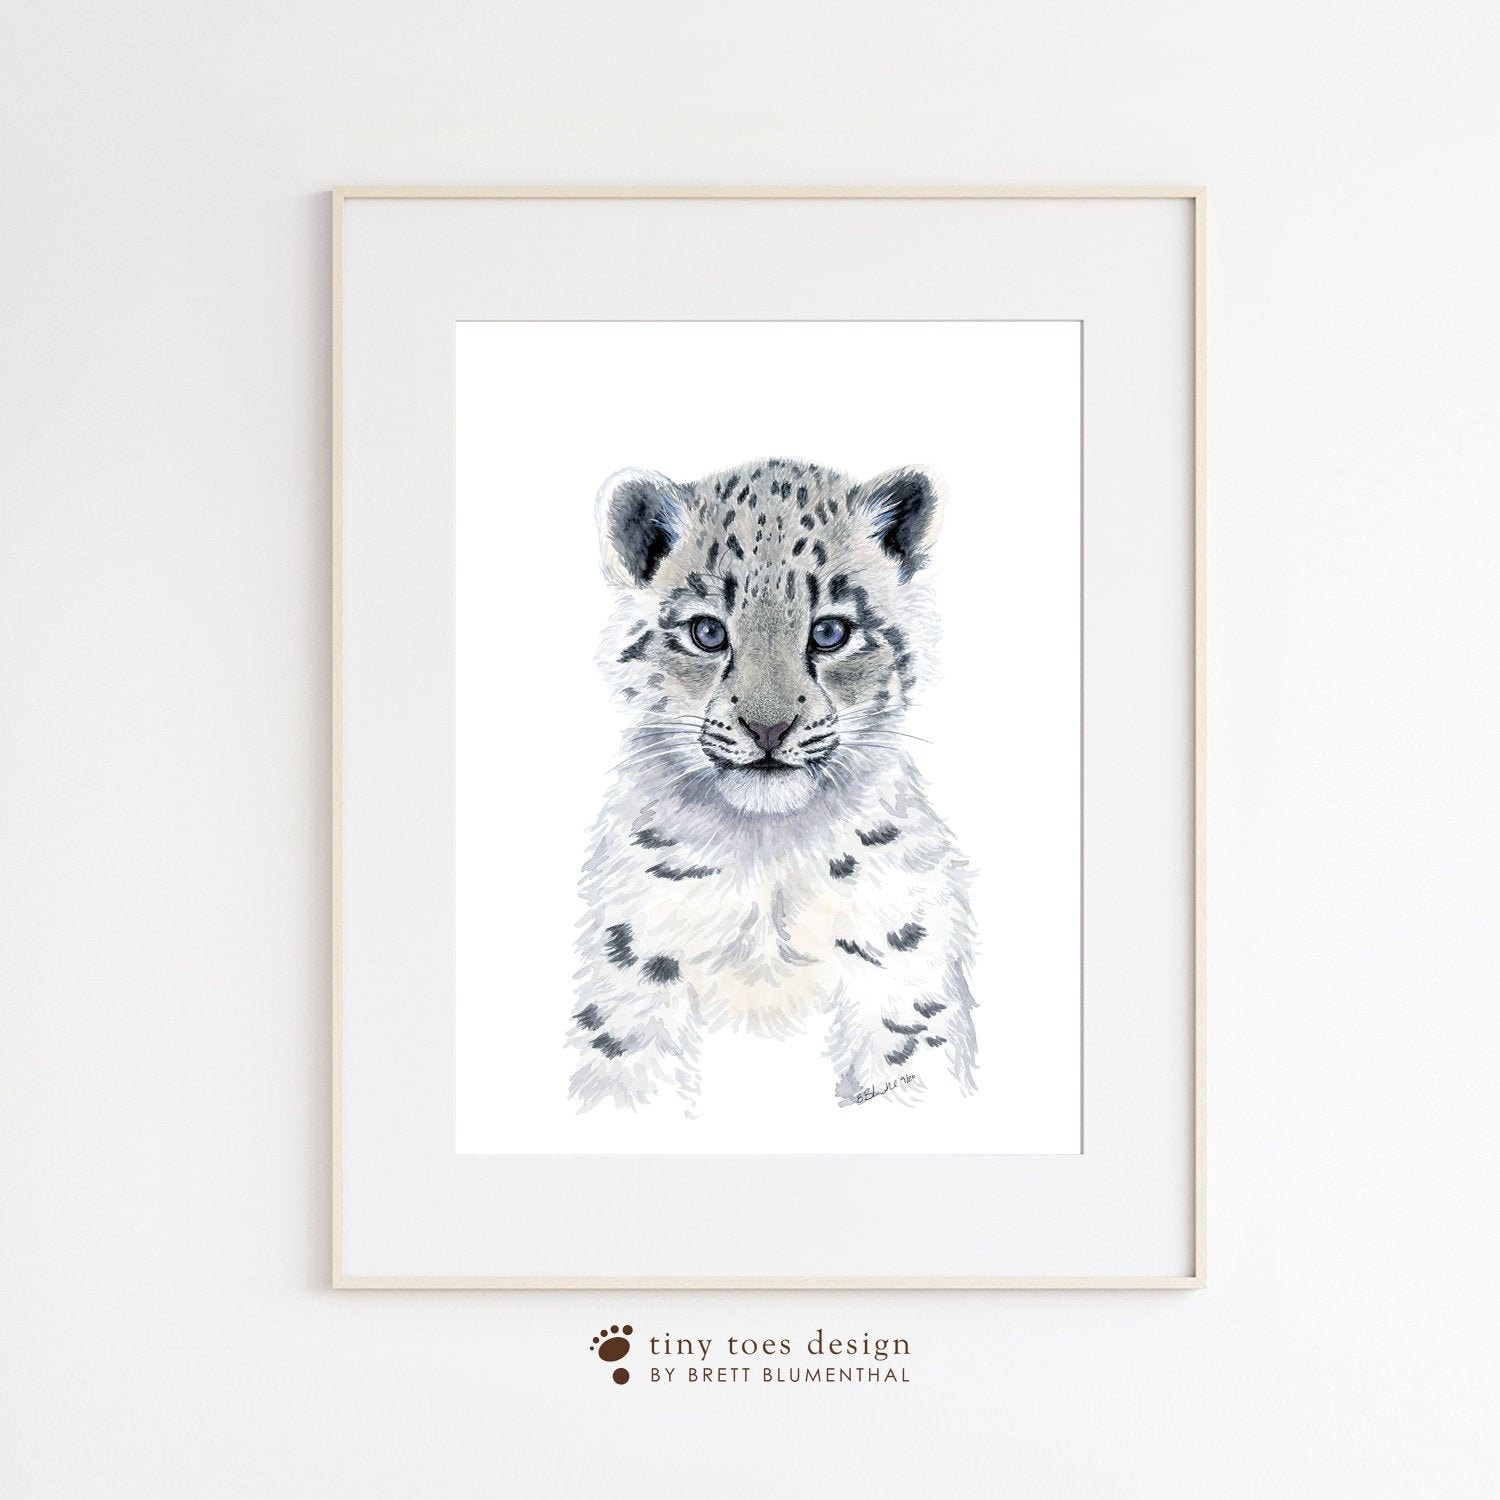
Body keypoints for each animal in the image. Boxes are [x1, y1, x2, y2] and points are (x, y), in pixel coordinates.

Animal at [568, 457, 977, 1115]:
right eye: (707, 632)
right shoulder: (634, 981)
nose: (768, 726)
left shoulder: (902, 979)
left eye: (830, 632)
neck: (767, 852)